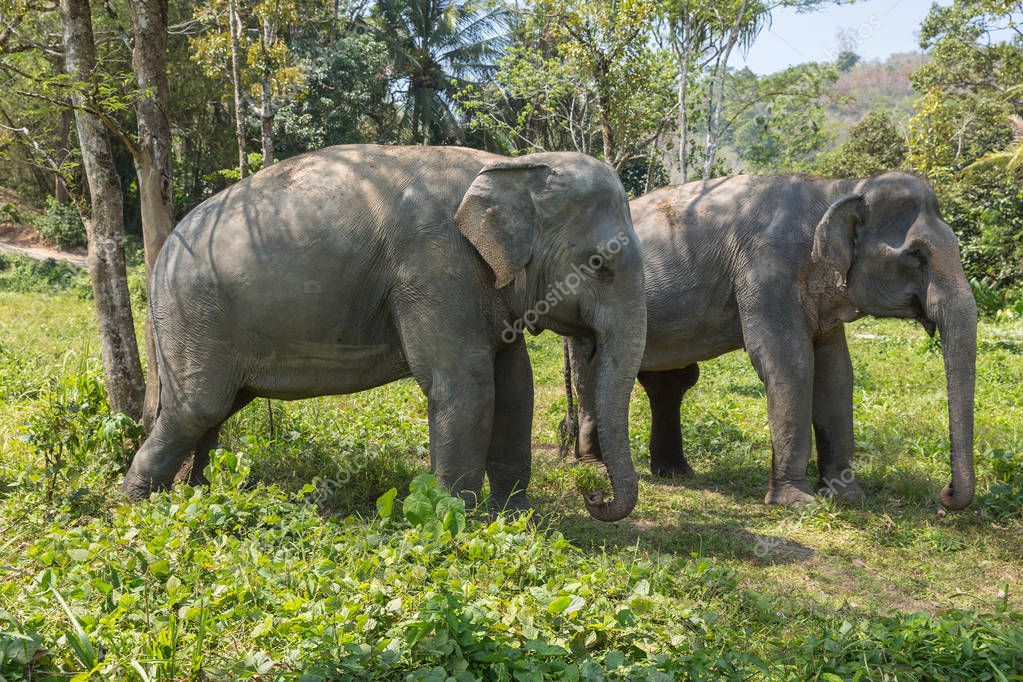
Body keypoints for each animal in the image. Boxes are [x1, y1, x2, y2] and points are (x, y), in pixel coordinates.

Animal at [123, 144, 647, 522]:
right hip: (194, 316)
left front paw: (516, 521)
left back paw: (200, 494)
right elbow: (465, 386)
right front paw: (459, 523)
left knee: (216, 410)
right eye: (599, 265)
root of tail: (161, 253)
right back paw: (137, 506)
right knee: (197, 407)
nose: (593, 497)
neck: (513, 164)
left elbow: (517, 386)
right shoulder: (435, 269)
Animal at [571, 172, 976, 509]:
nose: (945, 495)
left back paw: (675, 472)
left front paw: (847, 496)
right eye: (917, 255)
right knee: (592, 372)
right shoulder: (766, 271)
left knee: (671, 383)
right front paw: (797, 503)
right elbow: (788, 363)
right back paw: (594, 468)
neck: (837, 187)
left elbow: (836, 373)